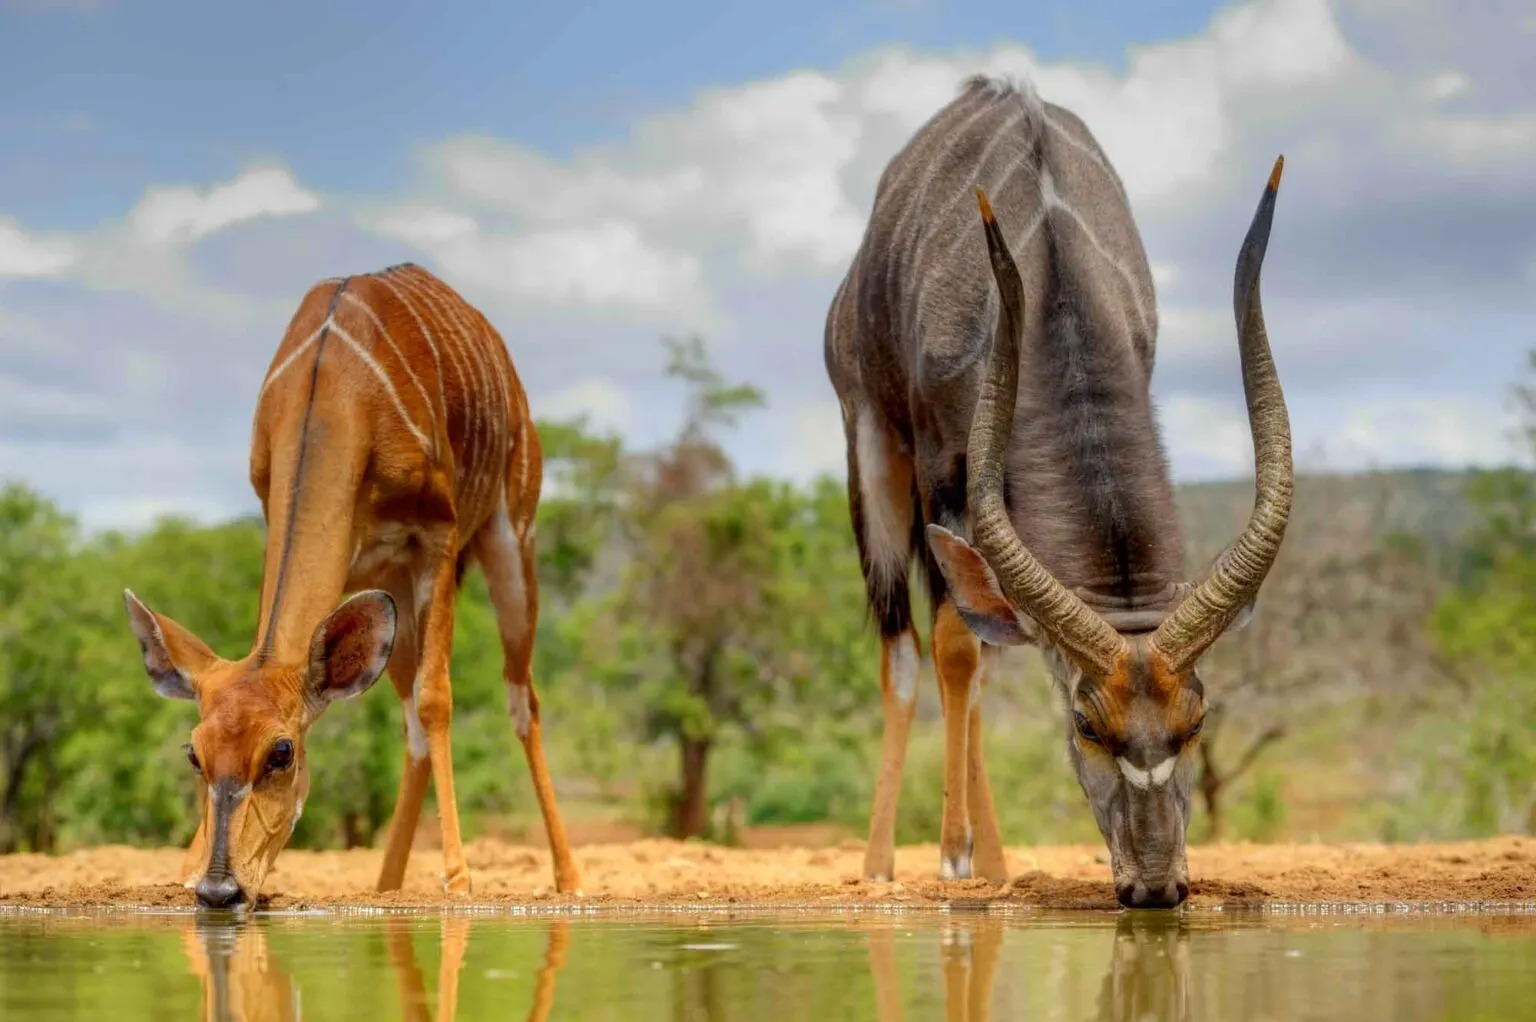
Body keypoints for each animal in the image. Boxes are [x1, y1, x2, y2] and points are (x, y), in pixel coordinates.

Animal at [122, 262, 582, 908]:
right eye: (195, 753)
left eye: (282, 752)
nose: (220, 889)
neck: (336, 391)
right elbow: (416, 708)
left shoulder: (438, 534)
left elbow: (438, 698)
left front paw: (458, 879)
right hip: (394, 594)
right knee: (413, 719)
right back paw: (386, 885)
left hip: (513, 534)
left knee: (521, 698)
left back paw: (568, 877)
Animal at [825, 76, 1291, 907]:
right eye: (1085, 724)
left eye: (1195, 720)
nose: (1155, 885)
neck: (1049, 269)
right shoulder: (943, 460)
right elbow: (953, 651)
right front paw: (949, 856)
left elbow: (979, 651)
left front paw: (983, 857)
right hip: (872, 449)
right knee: (906, 652)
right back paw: (890, 864)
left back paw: (993, 860)